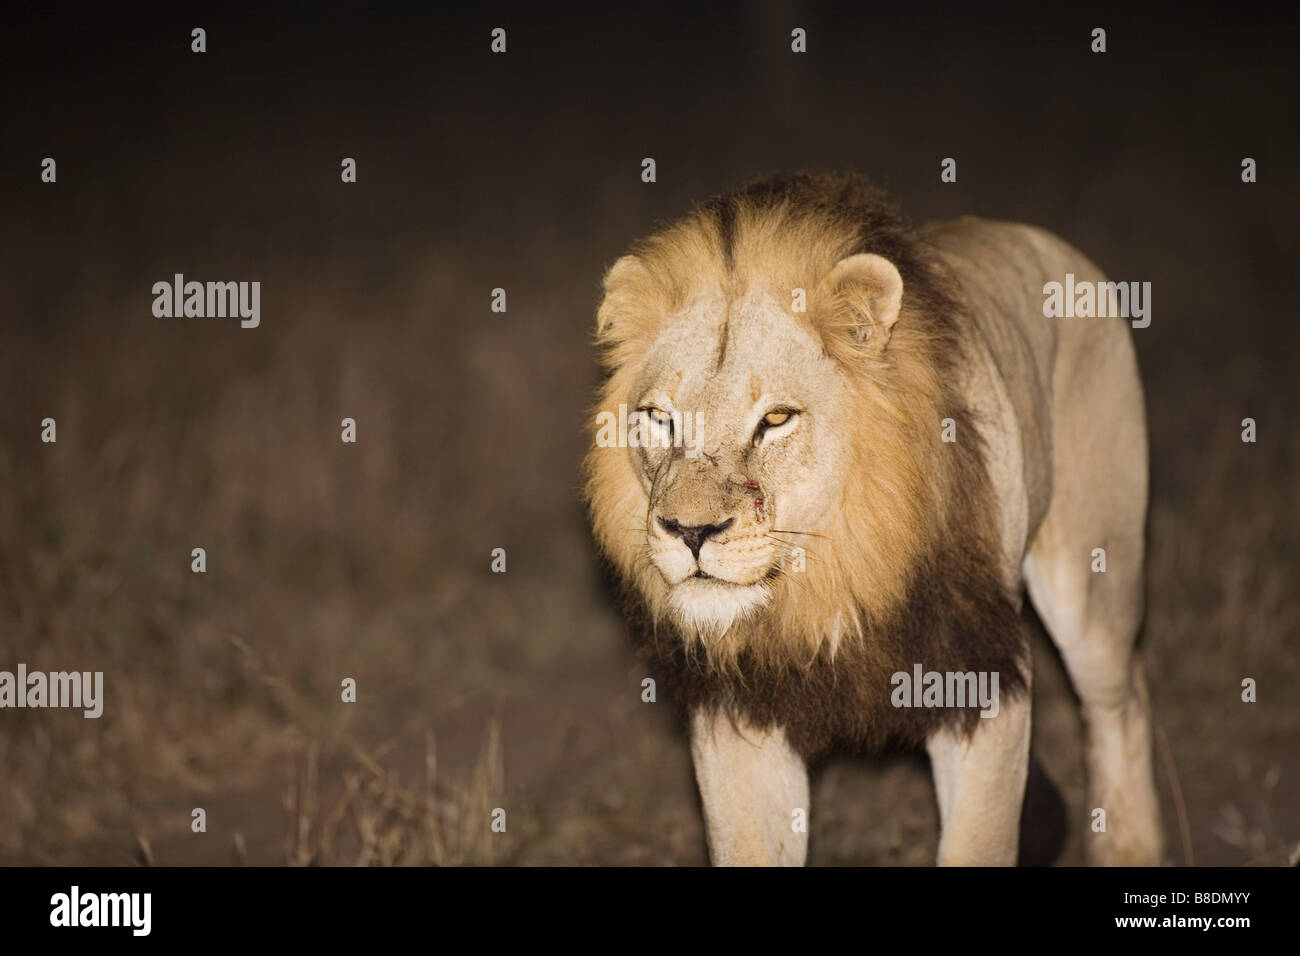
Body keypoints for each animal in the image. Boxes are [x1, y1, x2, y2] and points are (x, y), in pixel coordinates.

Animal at [584, 172, 1163, 866]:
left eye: (775, 419)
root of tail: (1038, 238)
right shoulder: (738, 713)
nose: (689, 532)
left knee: (1123, 701)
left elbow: (978, 843)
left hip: (1093, 585)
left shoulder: (982, 682)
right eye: (659, 418)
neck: (828, 569)